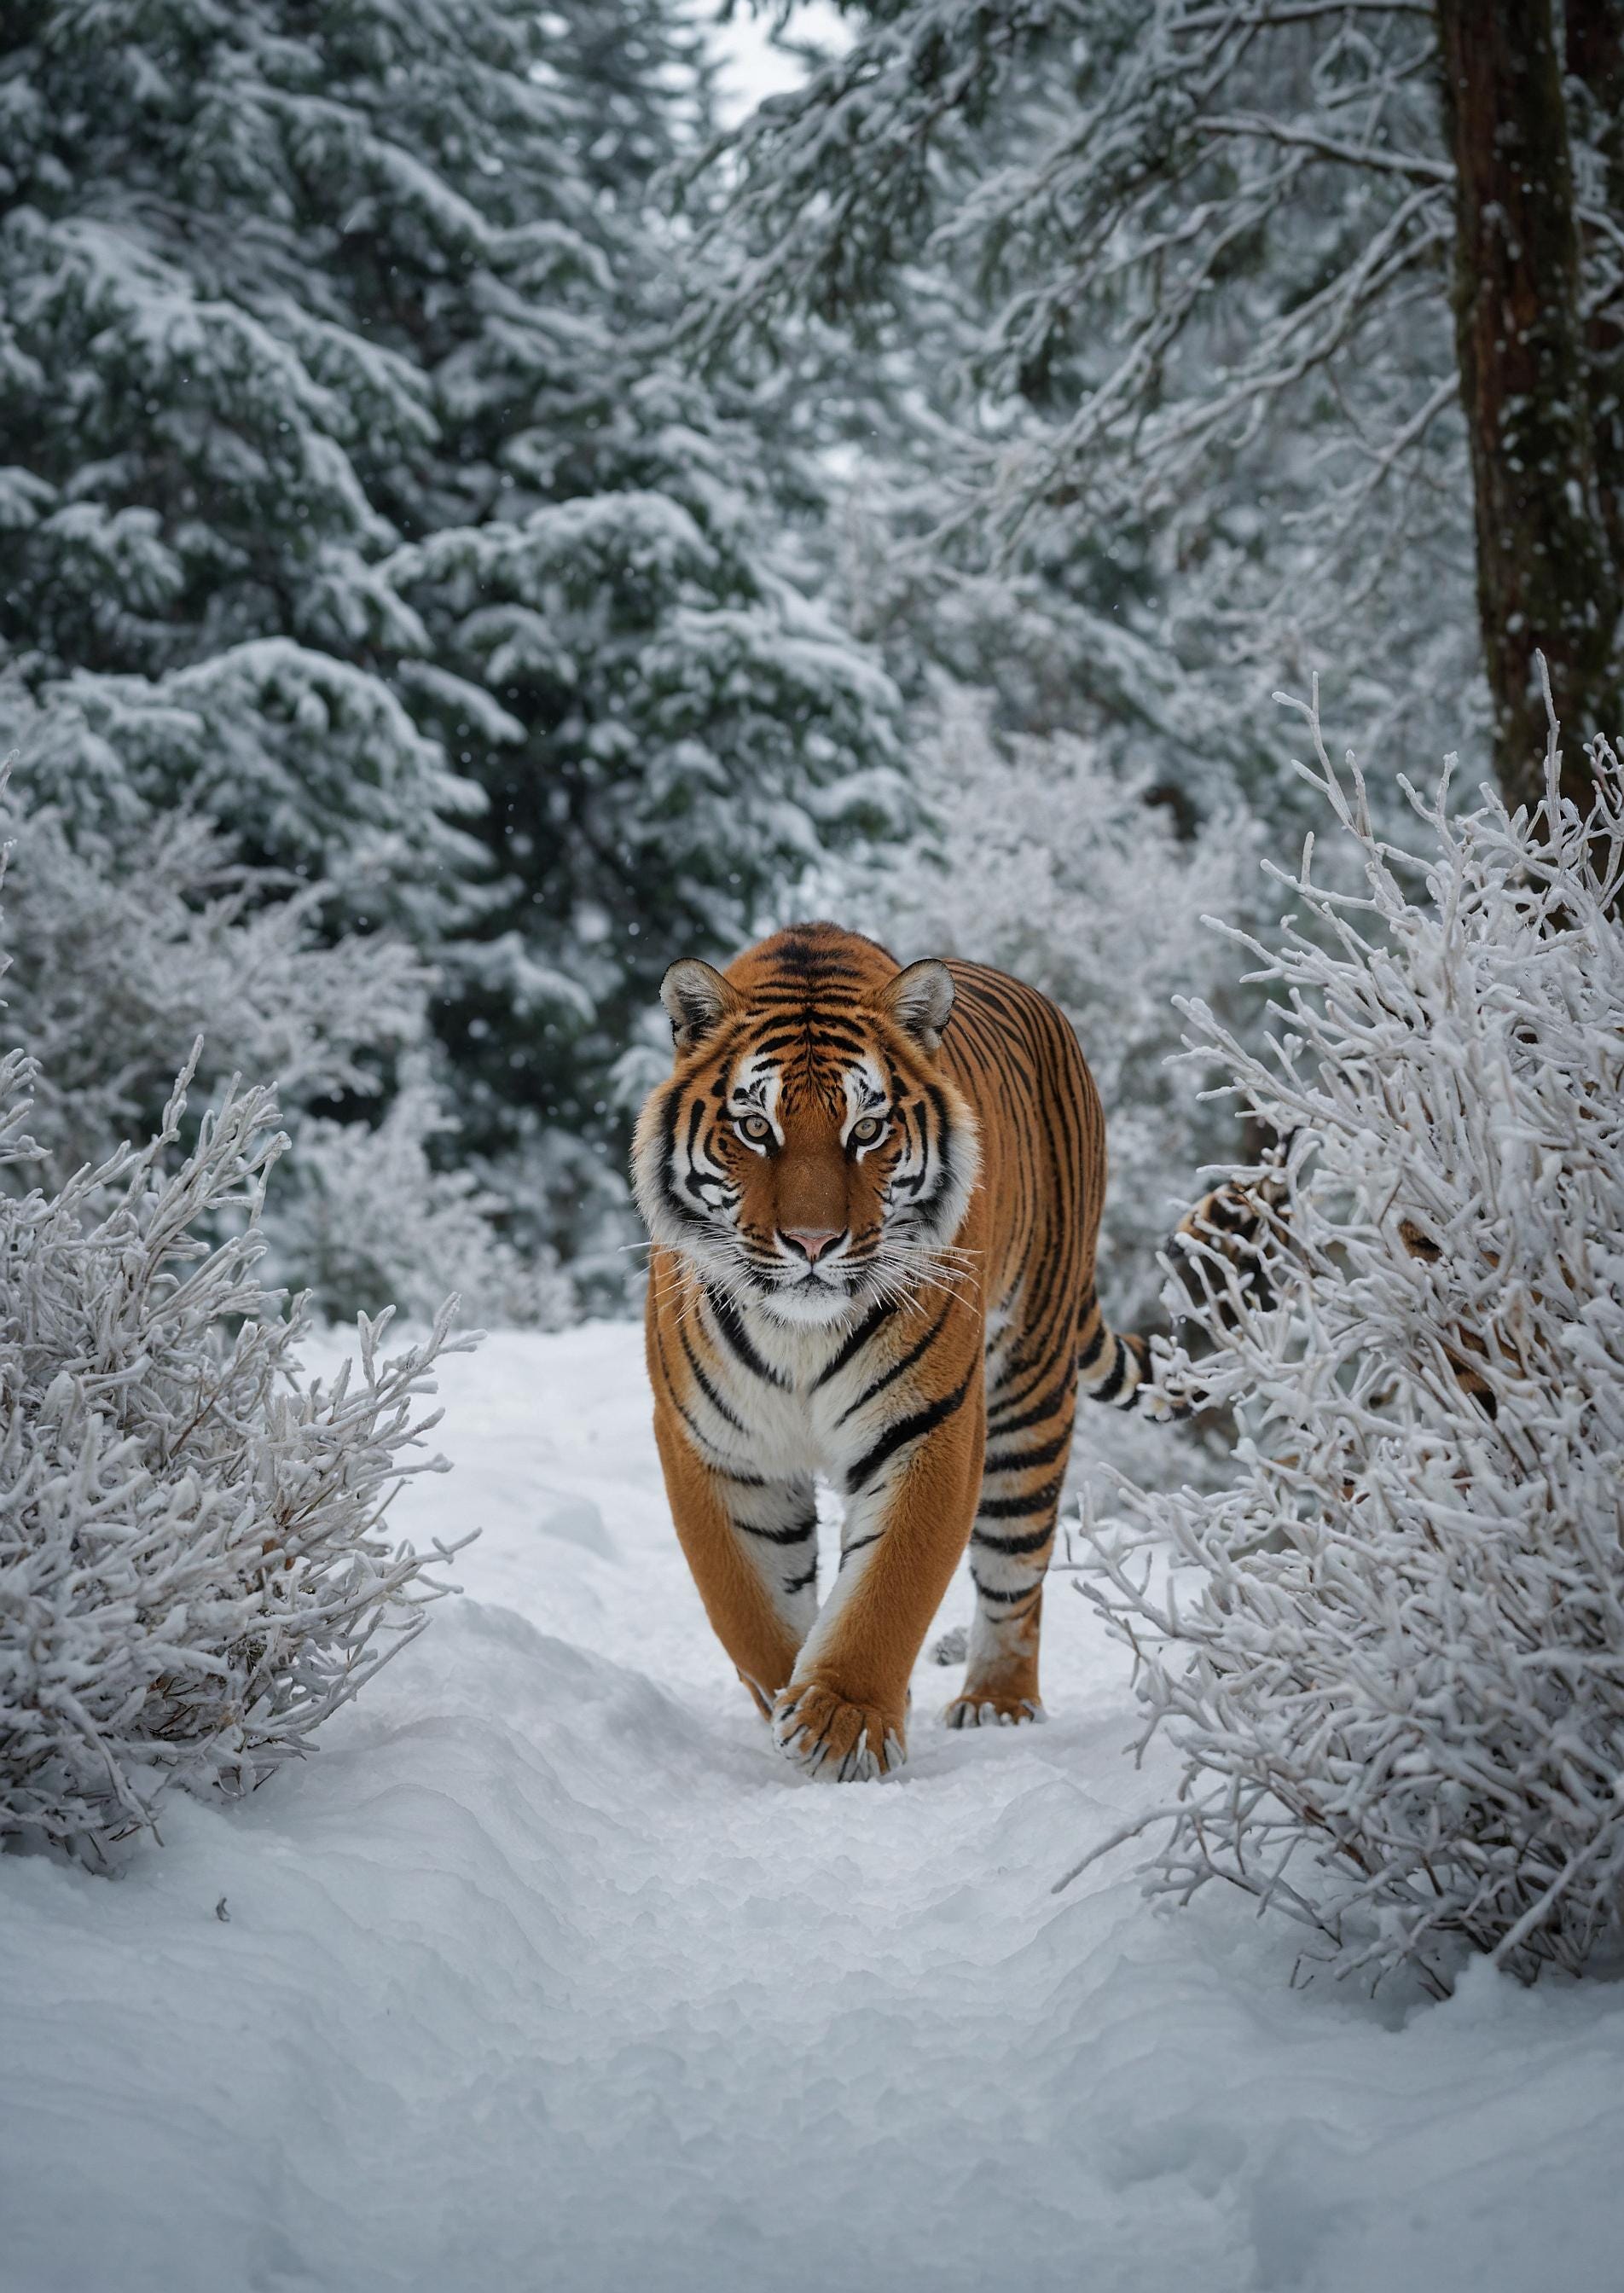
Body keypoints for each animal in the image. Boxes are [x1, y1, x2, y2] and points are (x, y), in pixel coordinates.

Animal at [631, 919, 1190, 1783]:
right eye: (756, 1128)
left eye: (867, 1130)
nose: (813, 1243)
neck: (798, 1332)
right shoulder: (718, 1445)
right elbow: (749, 1605)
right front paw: (791, 1702)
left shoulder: (930, 1425)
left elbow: (890, 1585)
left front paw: (842, 1722)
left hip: (1029, 1396)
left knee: (1016, 1572)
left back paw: (997, 1703)